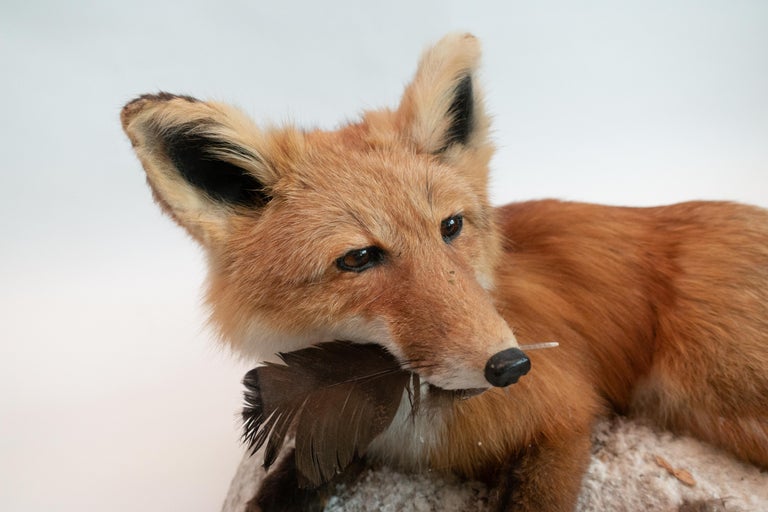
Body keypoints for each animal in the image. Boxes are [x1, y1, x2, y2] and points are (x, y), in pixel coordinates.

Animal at [121, 33, 768, 511]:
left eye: (451, 226)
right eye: (358, 258)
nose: (511, 365)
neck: (414, 425)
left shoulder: (565, 414)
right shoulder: (344, 426)